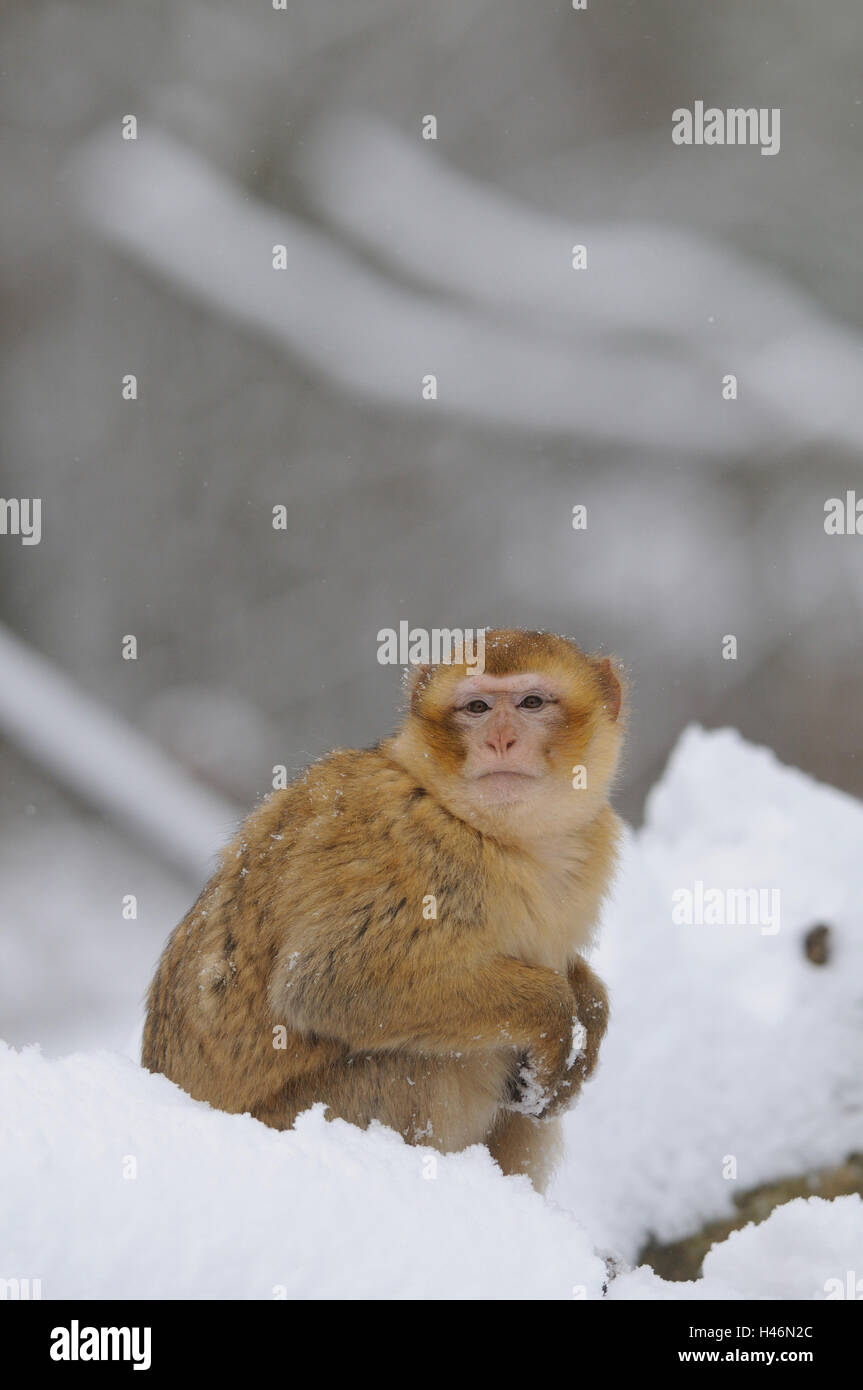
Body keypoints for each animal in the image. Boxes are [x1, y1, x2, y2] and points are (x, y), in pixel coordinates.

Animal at [142, 628, 625, 1192]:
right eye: (477, 707)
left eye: (531, 702)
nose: (500, 740)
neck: (493, 836)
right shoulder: (406, 850)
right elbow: (330, 983)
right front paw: (554, 1011)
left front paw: (589, 1008)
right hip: (303, 1115)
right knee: (418, 1063)